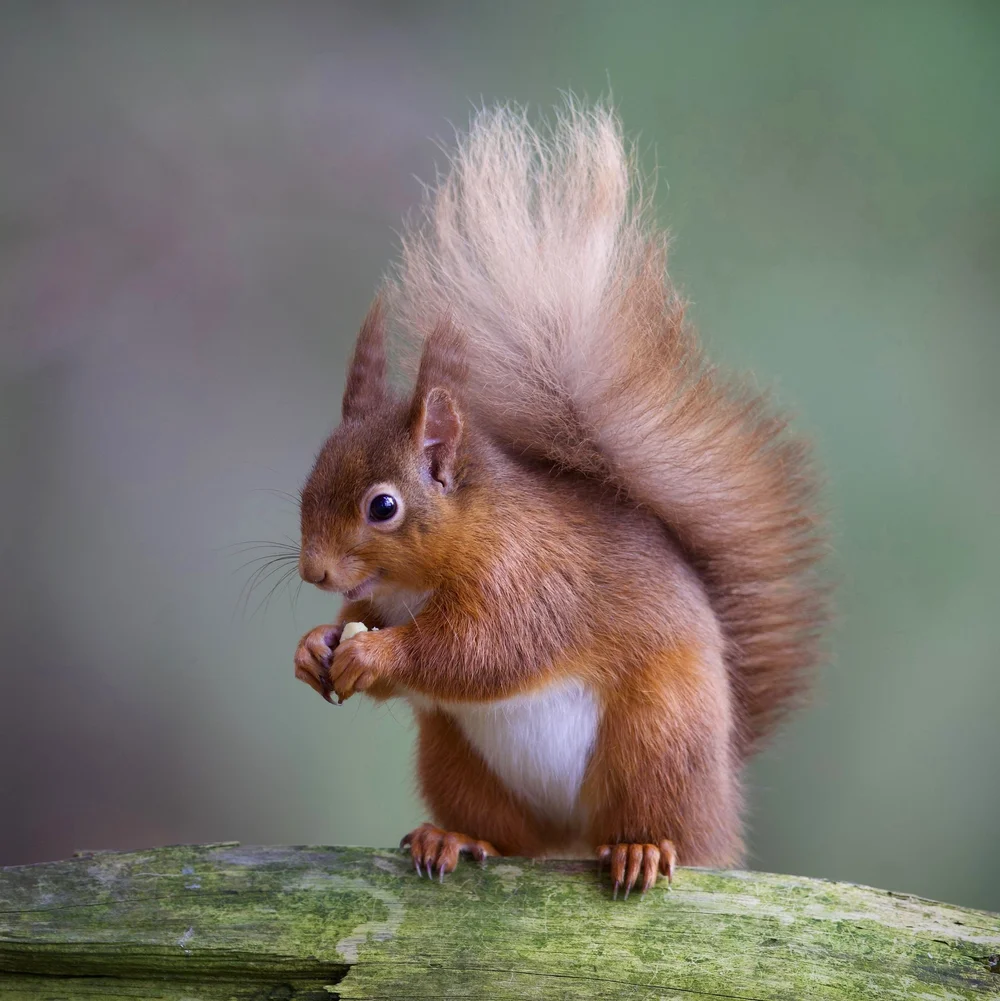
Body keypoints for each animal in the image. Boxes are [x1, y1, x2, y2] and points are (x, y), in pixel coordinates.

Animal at [293, 102, 827, 898]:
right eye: (308, 480)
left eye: (382, 507)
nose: (314, 571)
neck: (419, 579)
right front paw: (315, 646)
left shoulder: (531, 578)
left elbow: (480, 650)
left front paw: (374, 654)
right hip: (457, 757)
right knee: (512, 837)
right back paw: (454, 836)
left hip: (655, 739)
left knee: (651, 822)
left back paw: (644, 848)